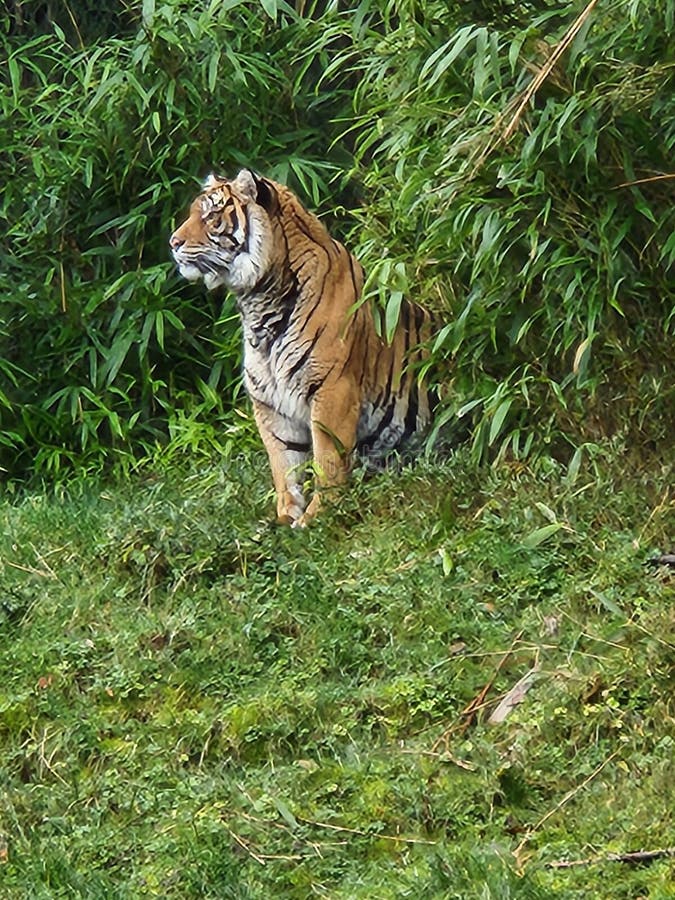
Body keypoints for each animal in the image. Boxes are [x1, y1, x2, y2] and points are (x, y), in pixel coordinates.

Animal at [170, 169, 433, 526]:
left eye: (211, 216)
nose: (173, 242)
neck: (259, 306)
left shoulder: (332, 387)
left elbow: (327, 457)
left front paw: (320, 515)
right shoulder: (269, 401)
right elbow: (284, 464)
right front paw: (286, 518)